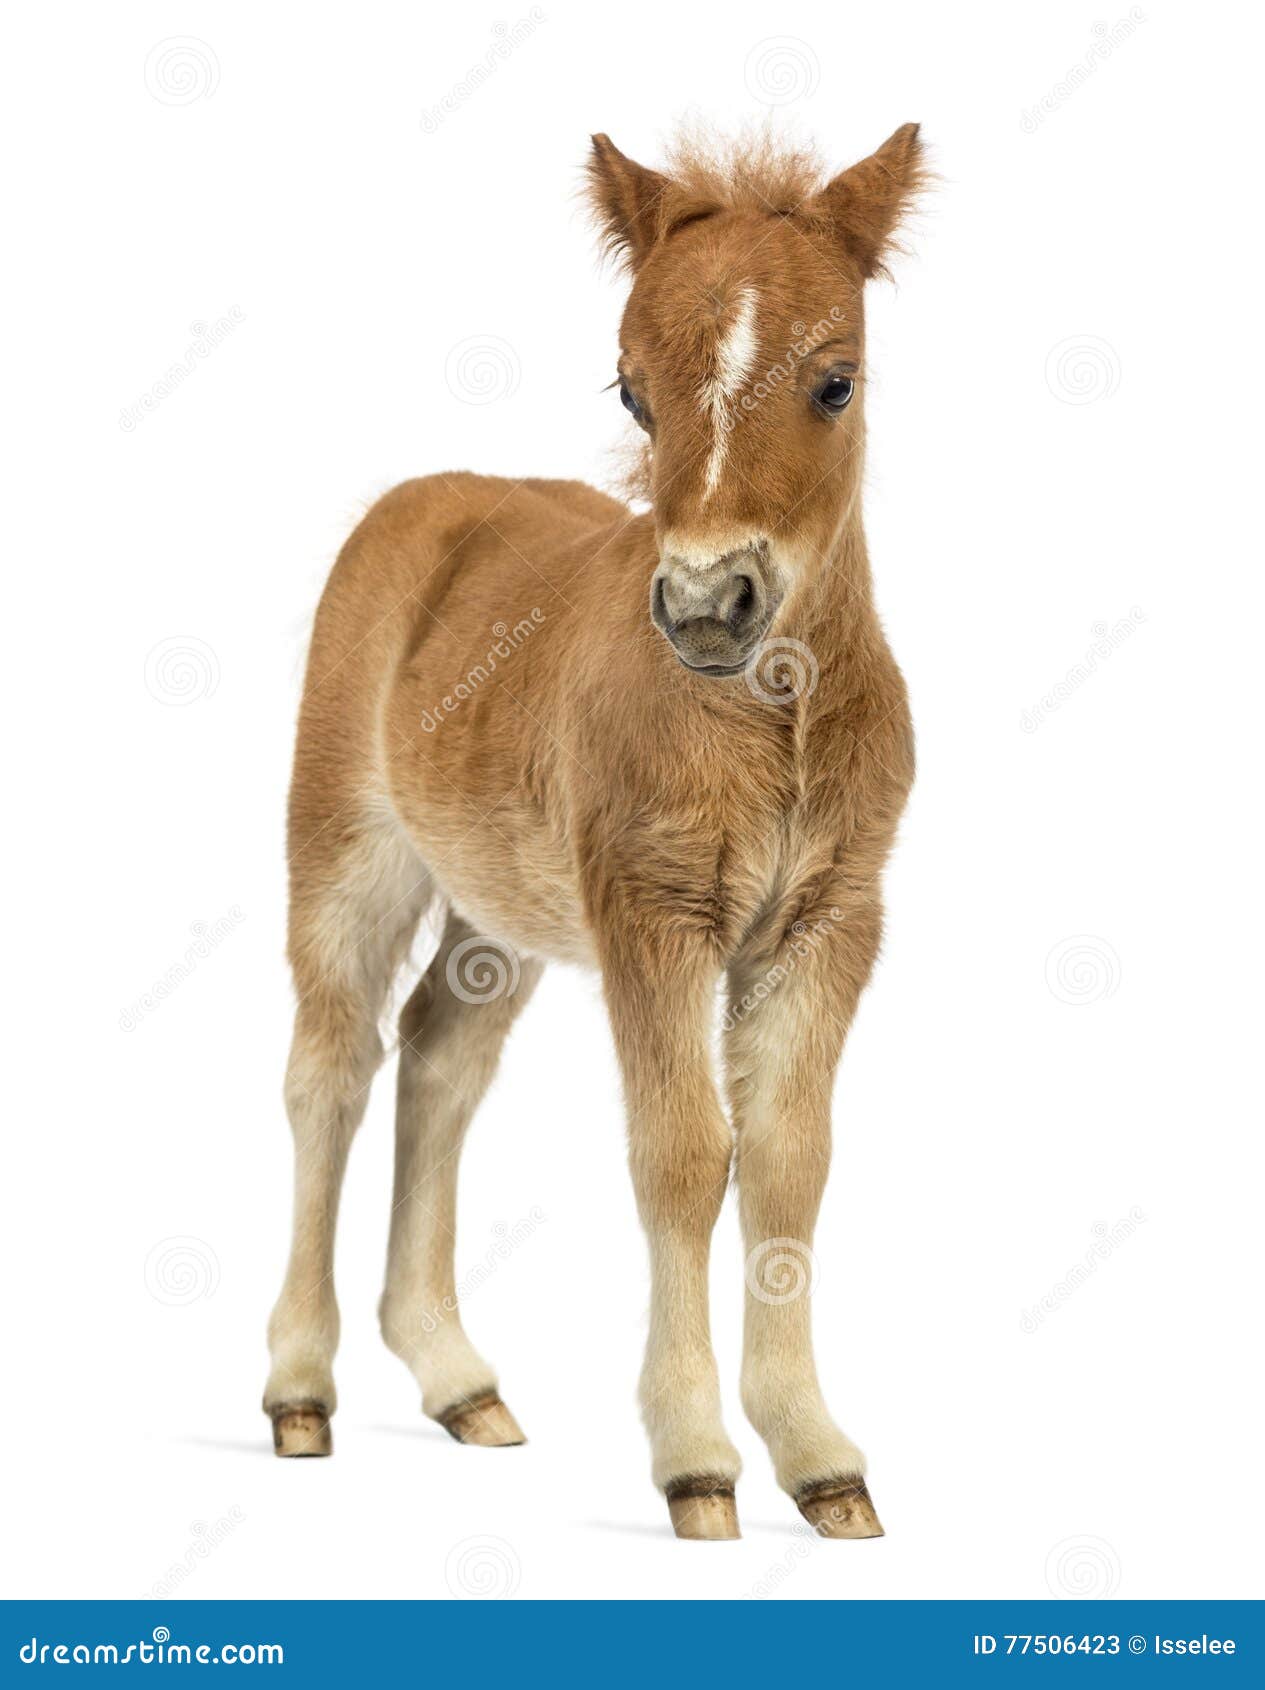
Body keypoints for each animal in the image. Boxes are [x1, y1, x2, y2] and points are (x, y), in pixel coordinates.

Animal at [264, 122, 926, 1541]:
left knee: (439, 1055)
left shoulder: (830, 919)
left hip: (498, 905)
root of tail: (422, 498)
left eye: (835, 382)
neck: (774, 718)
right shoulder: (649, 910)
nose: (709, 603)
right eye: (630, 392)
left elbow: (787, 1159)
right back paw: (298, 1391)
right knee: (330, 1064)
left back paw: (458, 1381)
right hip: (346, 846)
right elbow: (681, 1155)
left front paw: (818, 1459)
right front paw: (697, 1465)